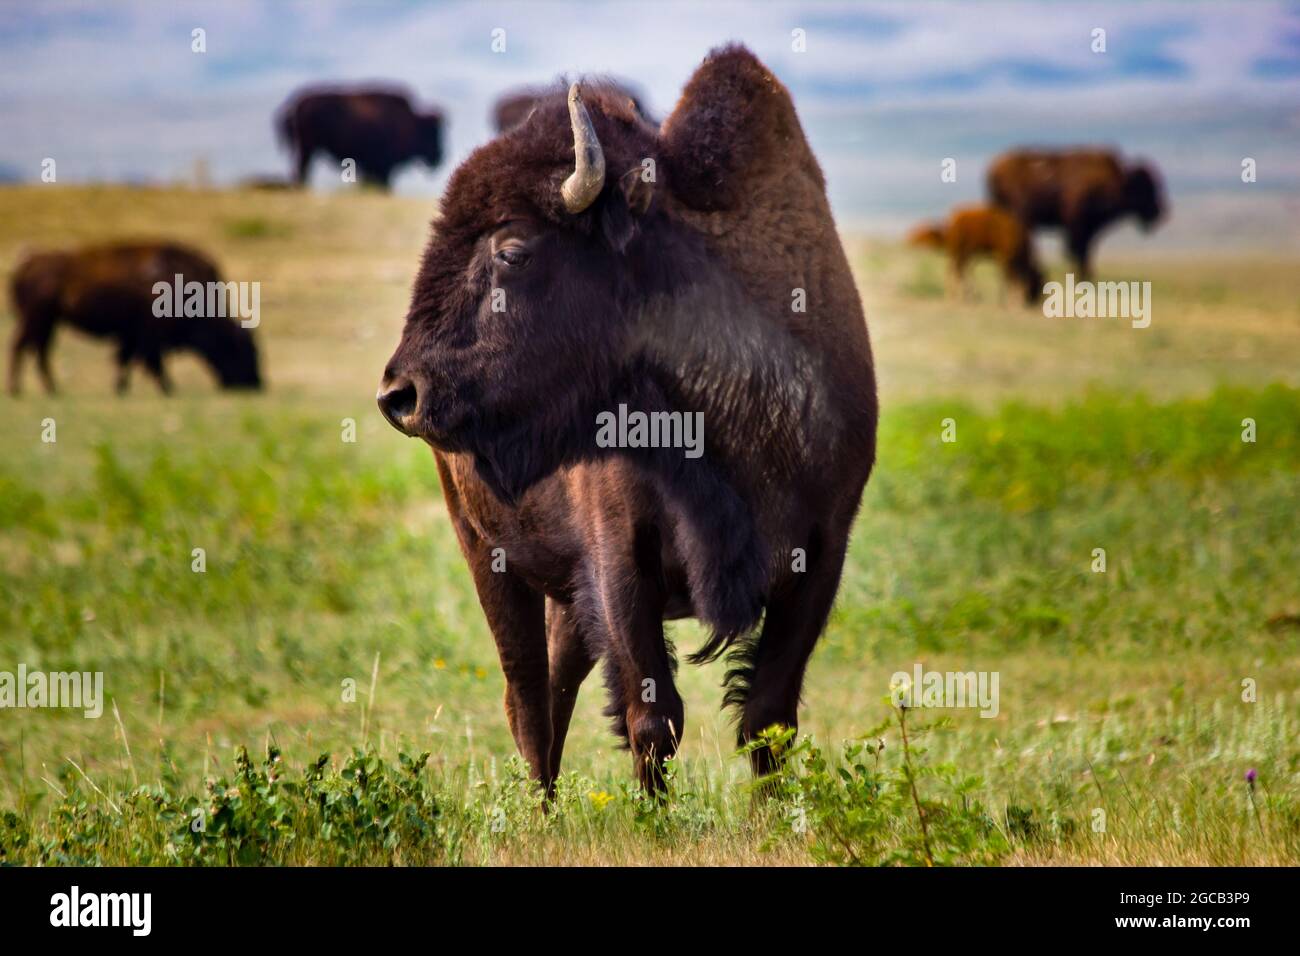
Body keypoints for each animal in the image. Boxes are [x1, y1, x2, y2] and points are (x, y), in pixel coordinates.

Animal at [8, 242, 261, 395]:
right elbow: (150, 362)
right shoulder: (149, 335)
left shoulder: (132, 335)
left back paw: (40, 389)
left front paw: (121, 388)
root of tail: (26, 264)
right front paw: (168, 388)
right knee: (30, 348)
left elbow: (127, 359)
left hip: (46, 321)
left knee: (34, 348)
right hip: (39, 320)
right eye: (245, 351)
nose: (257, 383)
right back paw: (33, 389)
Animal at [276, 86, 444, 190]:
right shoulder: (382, 167)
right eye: (432, 132)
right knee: (302, 169)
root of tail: (295, 105)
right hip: (307, 148)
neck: (409, 121)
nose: (439, 156)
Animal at [378, 48, 878, 794]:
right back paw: (543, 809)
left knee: (552, 691)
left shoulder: (820, 553)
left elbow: (768, 716)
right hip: (484, 549)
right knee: (527, 698)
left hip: (556, 591)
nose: (400, 392)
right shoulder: (619, 559)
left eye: (513, 250)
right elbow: (653, 715)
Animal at [987, 147, 1165, 279]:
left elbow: (1085, 251)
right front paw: (1083, 276)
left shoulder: (1090, 229)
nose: (1158, 211)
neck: (1117, 181)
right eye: (1144, 187)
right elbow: (1077, 251)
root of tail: (994, 169)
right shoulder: (1077, 225)